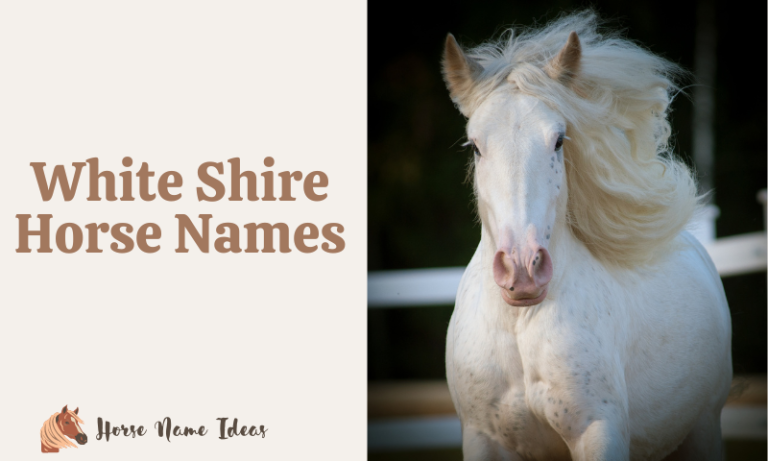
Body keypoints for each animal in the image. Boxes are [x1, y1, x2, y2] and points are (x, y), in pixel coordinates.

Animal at [442, 12, 731, 461]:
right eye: (474, 146)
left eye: (559, 140)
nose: (523, 270)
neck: (520, 324)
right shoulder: (483, 437)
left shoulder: (599, 430)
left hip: (702, 429)